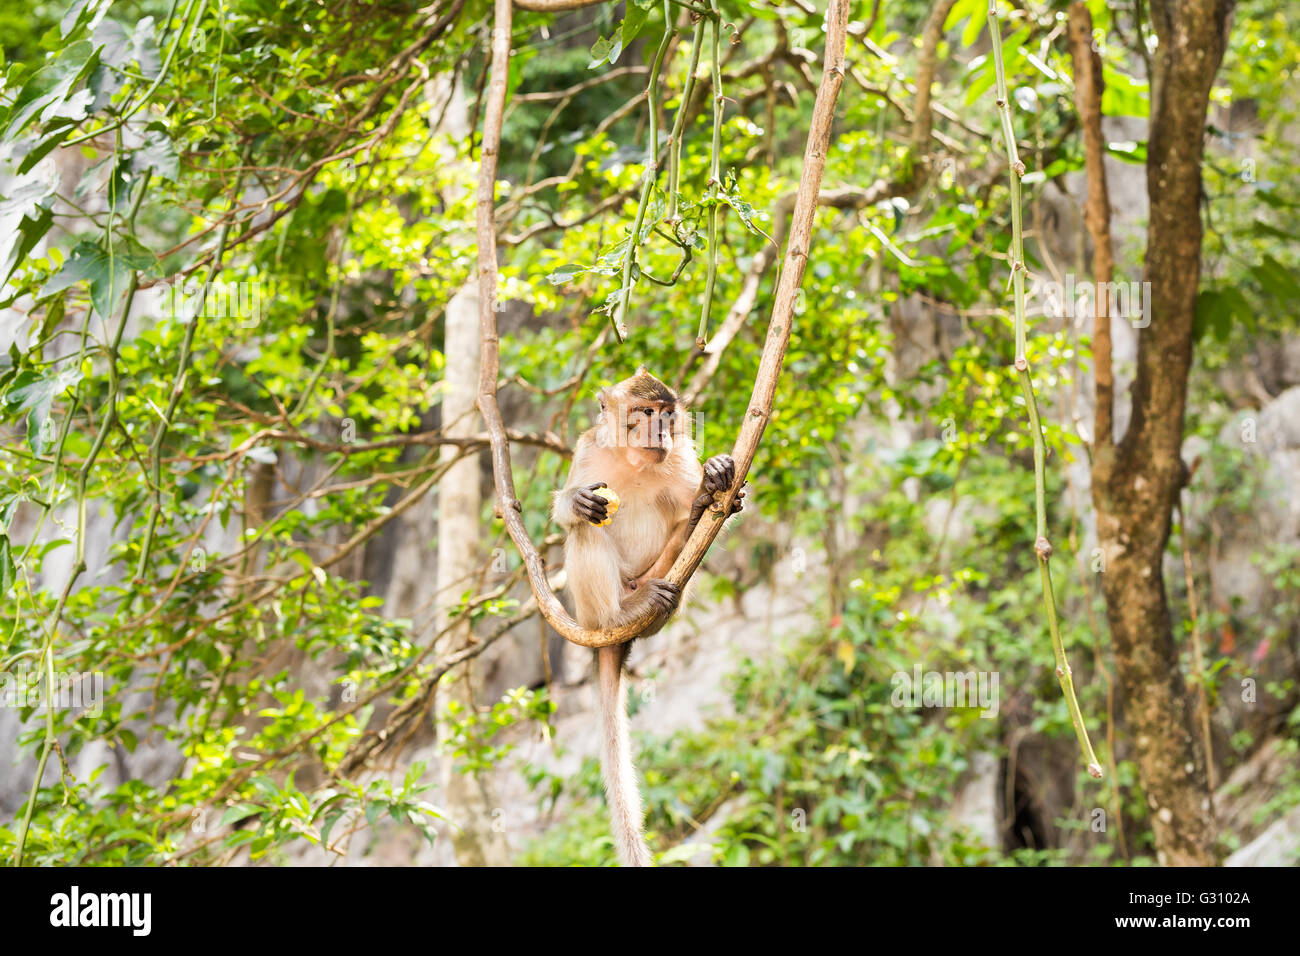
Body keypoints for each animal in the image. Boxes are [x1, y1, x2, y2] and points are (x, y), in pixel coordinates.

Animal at [552, 367, 743, 867]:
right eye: (644, 412)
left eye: (667, 414)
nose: (660, 430)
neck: (636, 462)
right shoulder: (588, 450)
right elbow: (570, 516)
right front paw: (574, 502)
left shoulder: (681, 455)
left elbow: (718, 510)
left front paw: (712, 487)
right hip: (591, 609)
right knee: (587, 534)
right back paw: (622, 611)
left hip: (664, 580)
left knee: (683, 541)